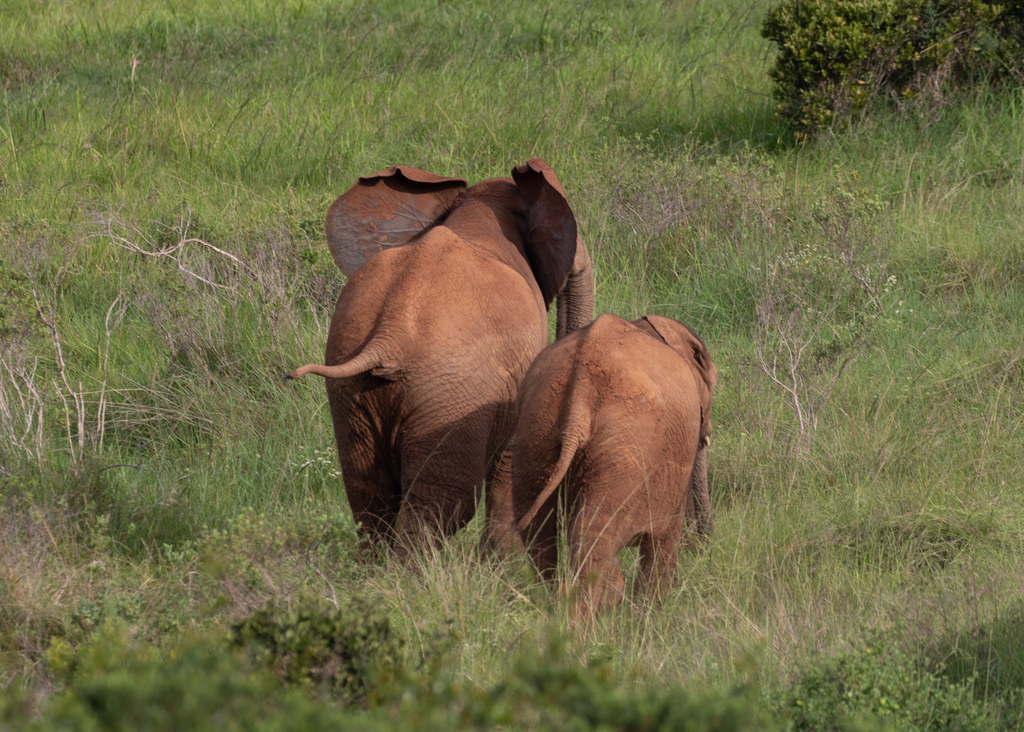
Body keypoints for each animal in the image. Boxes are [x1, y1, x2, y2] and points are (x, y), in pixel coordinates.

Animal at [288, 159, 594, 556]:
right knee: (442, 506)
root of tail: (388, 334)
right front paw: (501, 567)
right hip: (450, 395)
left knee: (369, 496)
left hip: (353, 389)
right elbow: (509, 461)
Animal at [511, 313, 717, 614]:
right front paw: (653, 614)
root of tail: (580, 396)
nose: (704, 549)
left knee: (541, 536)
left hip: (536, 431)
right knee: (594, 536)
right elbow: (665, 537)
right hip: (625, 451)